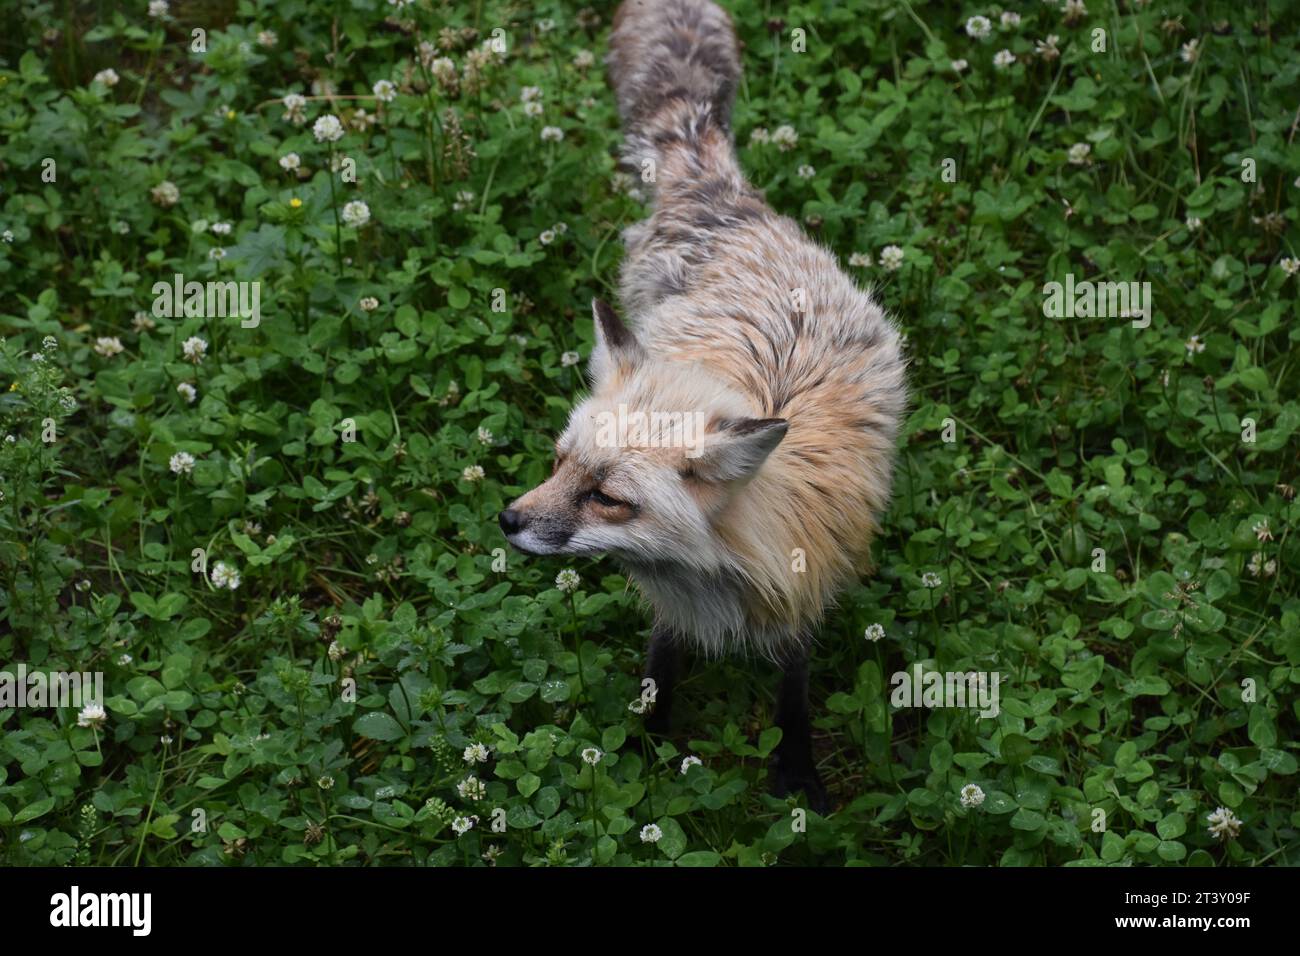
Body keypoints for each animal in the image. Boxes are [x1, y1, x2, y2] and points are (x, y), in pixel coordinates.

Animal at [500, 0, 907, 812]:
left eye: (607, 498)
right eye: (558, 463)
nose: (507, 519)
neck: (713, 572)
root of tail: (723, 200)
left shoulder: (804, 582)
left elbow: (794, 683)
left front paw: (795, 768)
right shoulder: (674, 610)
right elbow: (660, 666)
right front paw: (646, 745)